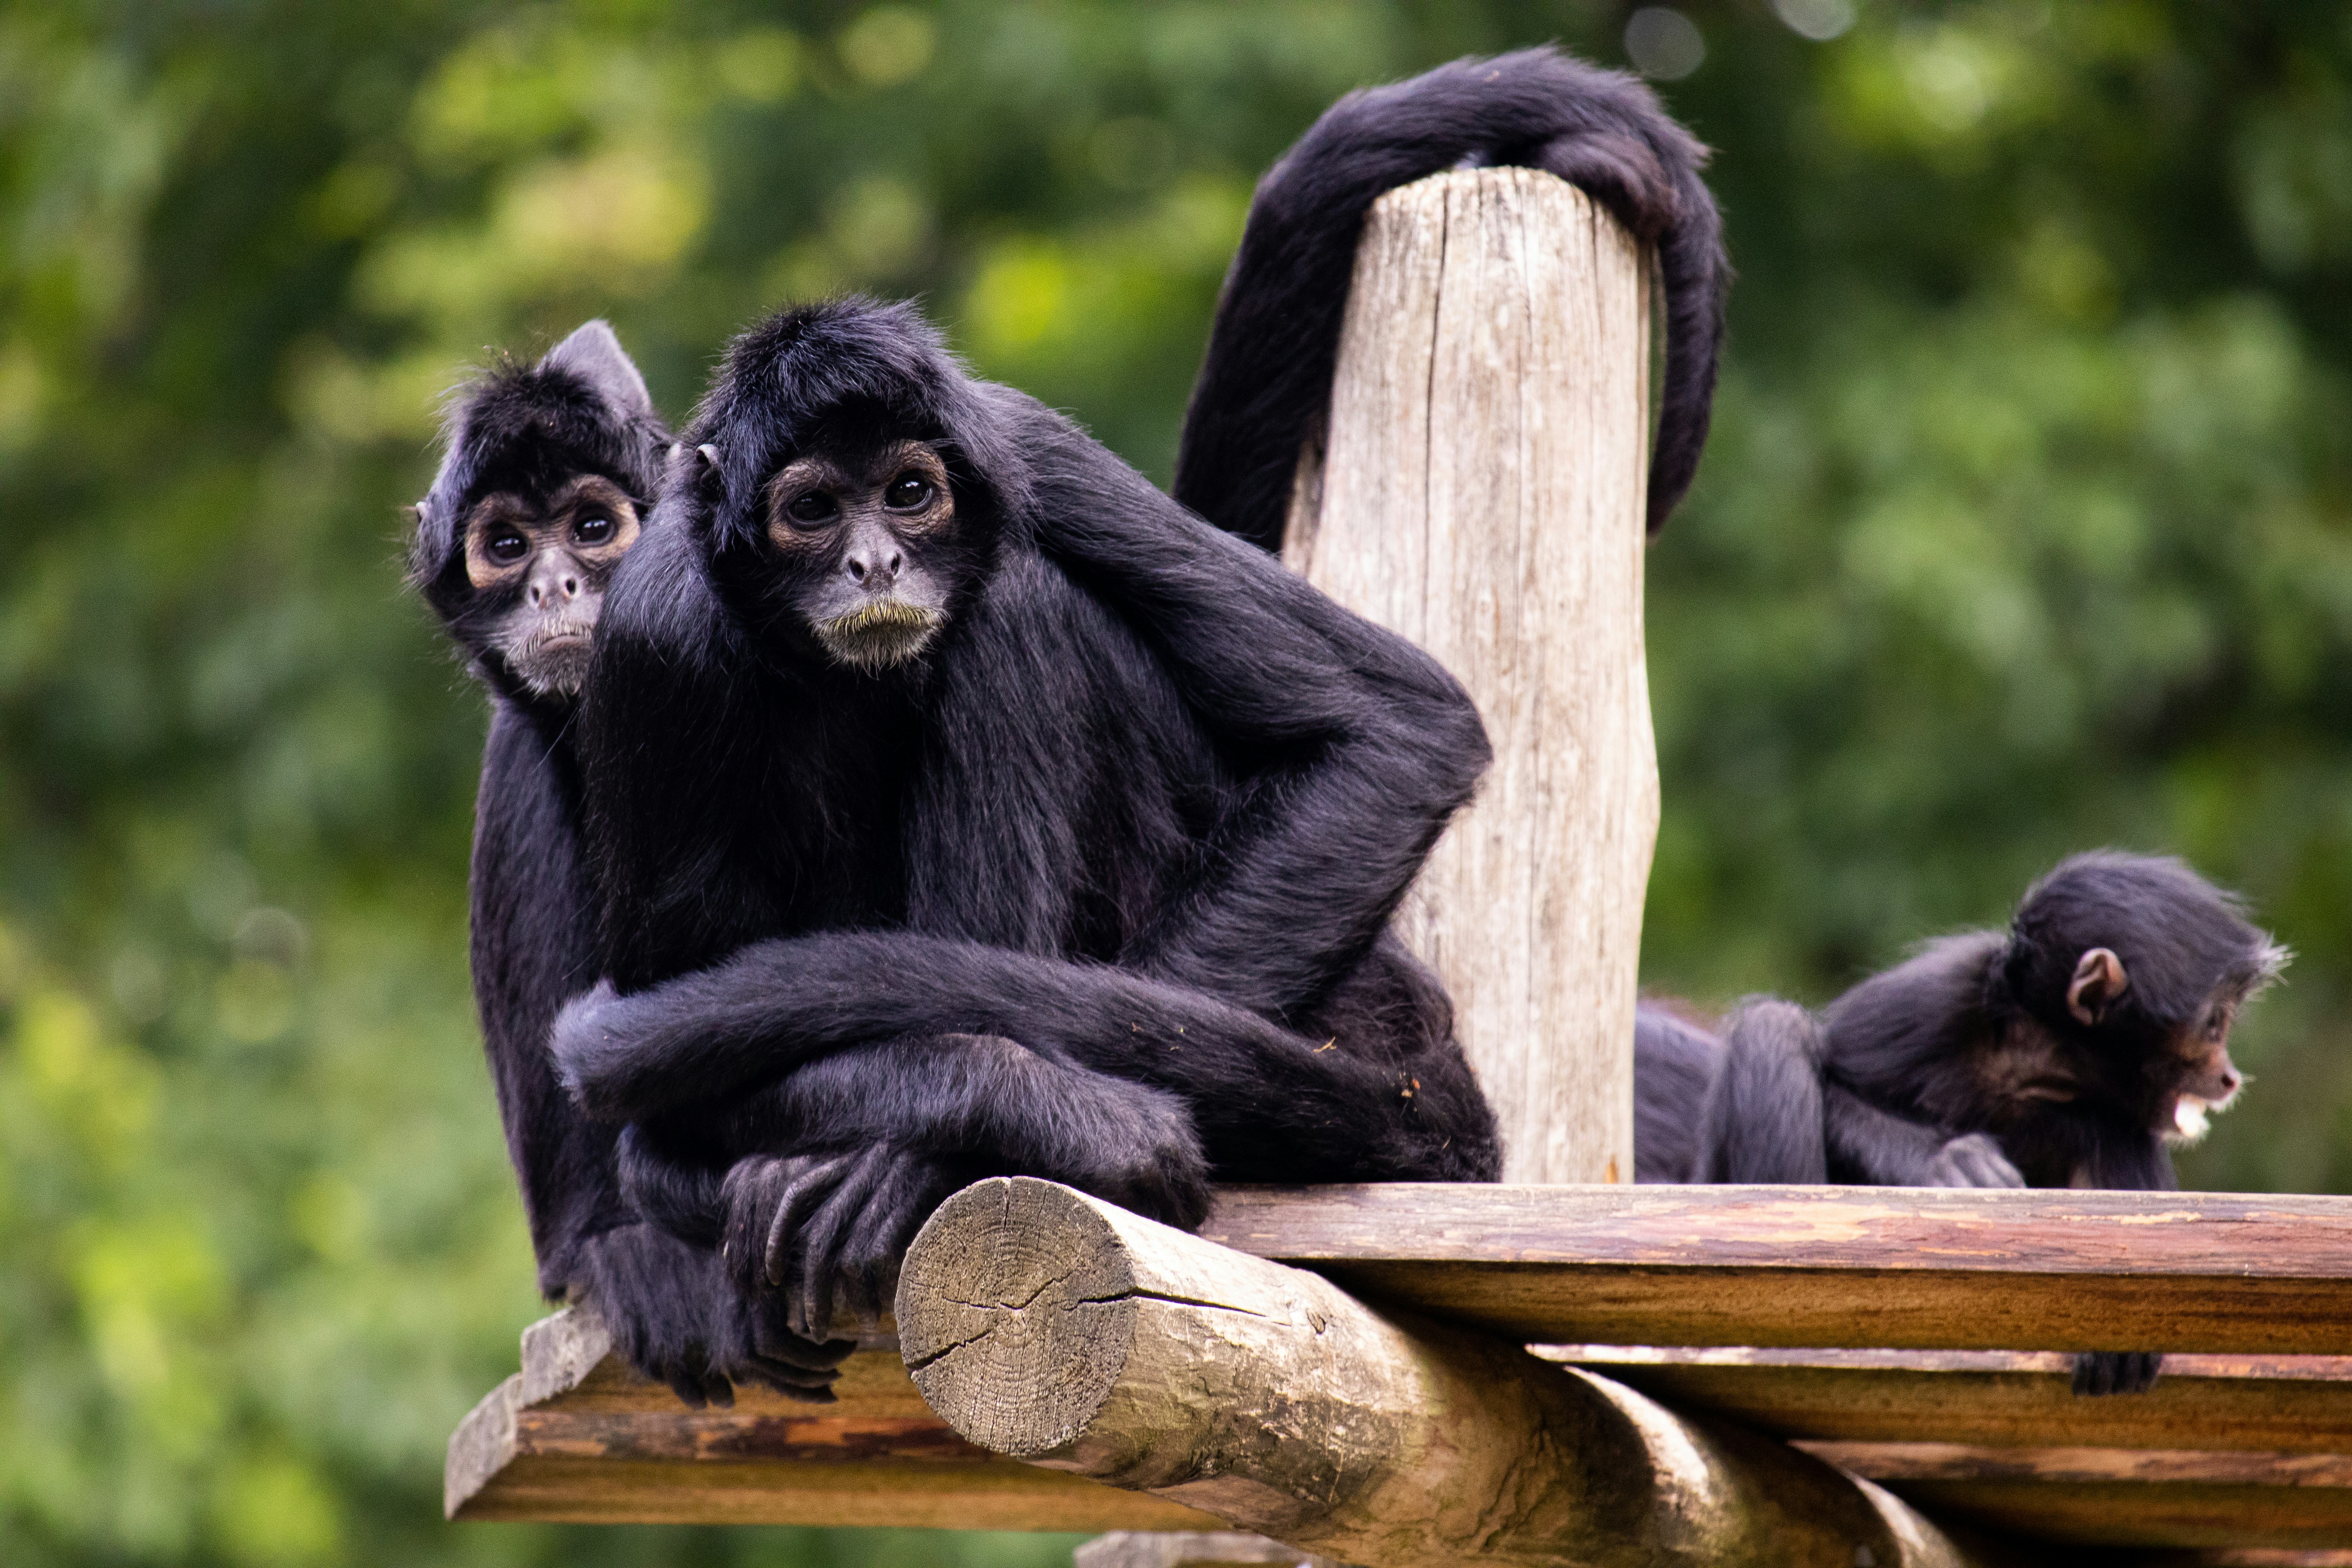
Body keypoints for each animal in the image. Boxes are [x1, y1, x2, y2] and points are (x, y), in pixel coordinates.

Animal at [549, 297, 1503, 1340]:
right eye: (811, 510)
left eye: (909, 492)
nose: (875, 561)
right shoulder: (656, 638)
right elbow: (674, 1081)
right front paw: (1034, 1103)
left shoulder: (1033, 449)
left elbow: (1397, 728)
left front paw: (923, 1154)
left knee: (1016, 598)